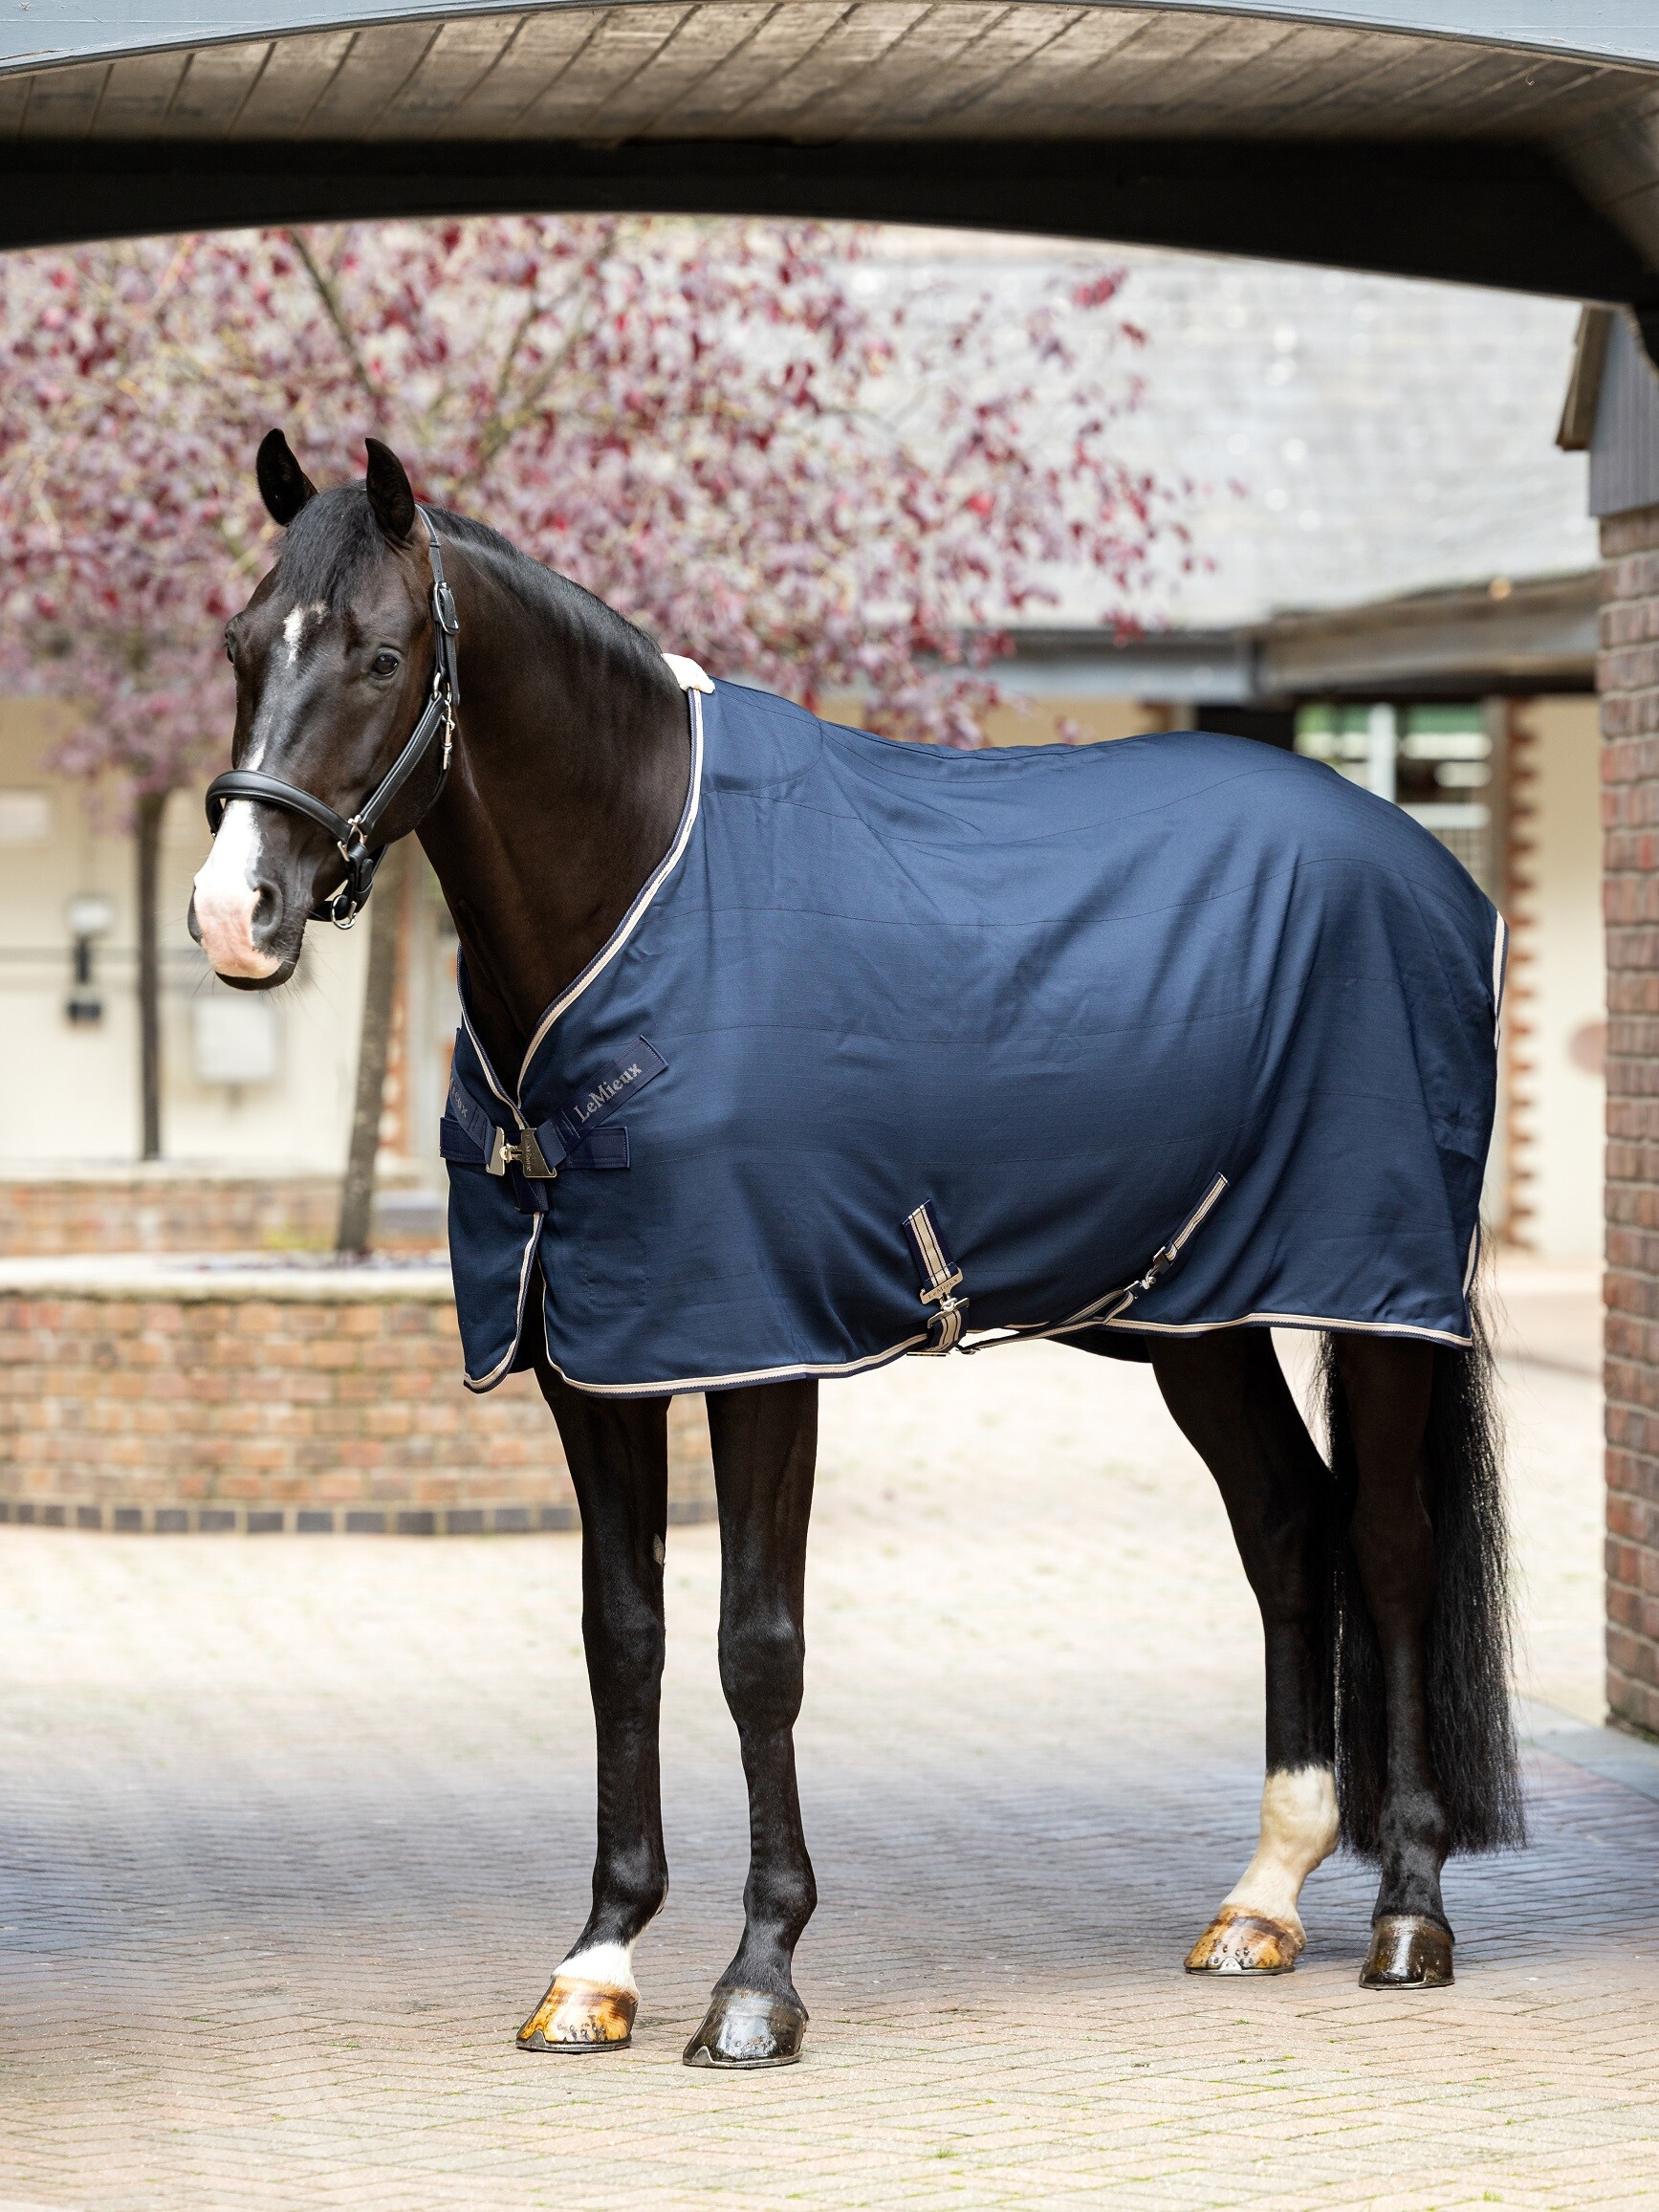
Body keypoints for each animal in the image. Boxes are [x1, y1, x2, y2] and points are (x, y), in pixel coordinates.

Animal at [189, 432, 1521, 2070]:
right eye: (240, 645)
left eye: (381, 655)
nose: (233, 913)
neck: (639, 904)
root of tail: (1426, 872)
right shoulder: (588, 1362)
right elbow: (620, 1636)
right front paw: (597, 1960)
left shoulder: (763, 1349)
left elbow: (756, 1647)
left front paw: (756, 1978)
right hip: (1191, 1318)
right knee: (1284, 1528)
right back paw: (1260, 1898)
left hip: (1376, 1303)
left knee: (1388, 1547)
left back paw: (1406, 1914)